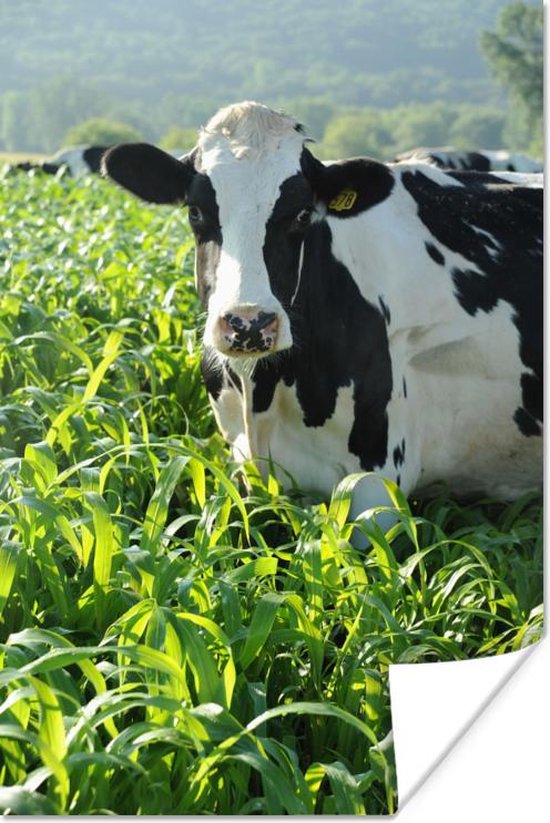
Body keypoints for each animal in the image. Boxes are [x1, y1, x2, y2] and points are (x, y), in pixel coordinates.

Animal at [102, 101, 543, 531]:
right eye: (195, 212)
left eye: (301, 214)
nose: (249, 323)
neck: (262, 394)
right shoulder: (246, 467)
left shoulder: (377, 482)